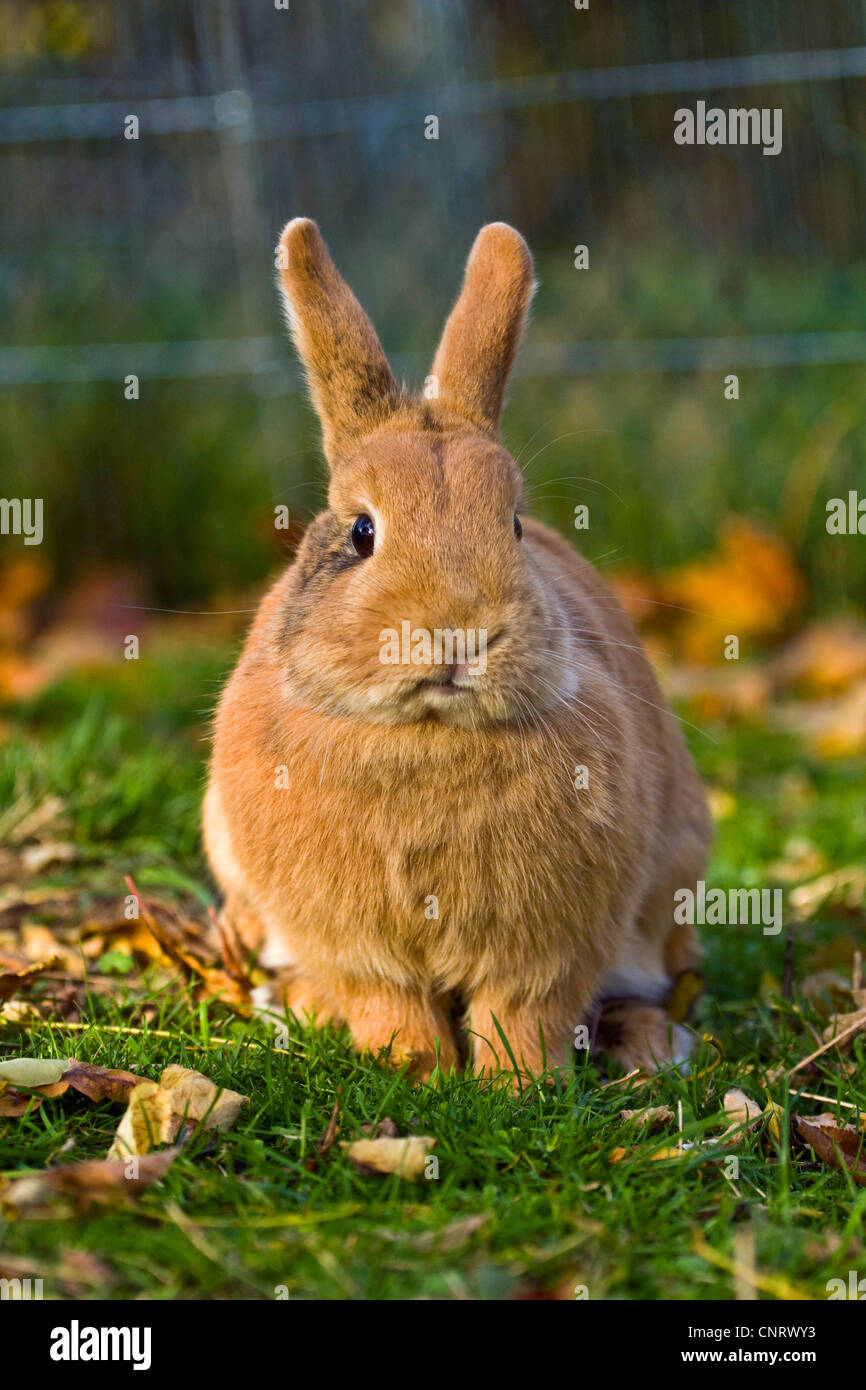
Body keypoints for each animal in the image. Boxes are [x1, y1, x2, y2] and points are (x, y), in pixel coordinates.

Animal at [204, 218, 712, 1082]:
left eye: (514, 525)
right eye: (361, 532)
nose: (456, 633)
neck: (429, 738)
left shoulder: (550, 947)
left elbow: (524, 1012)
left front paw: (516, 1087)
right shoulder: (358, 948)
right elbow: (388, 1001)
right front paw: (413, 1071)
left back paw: (647, 1049)